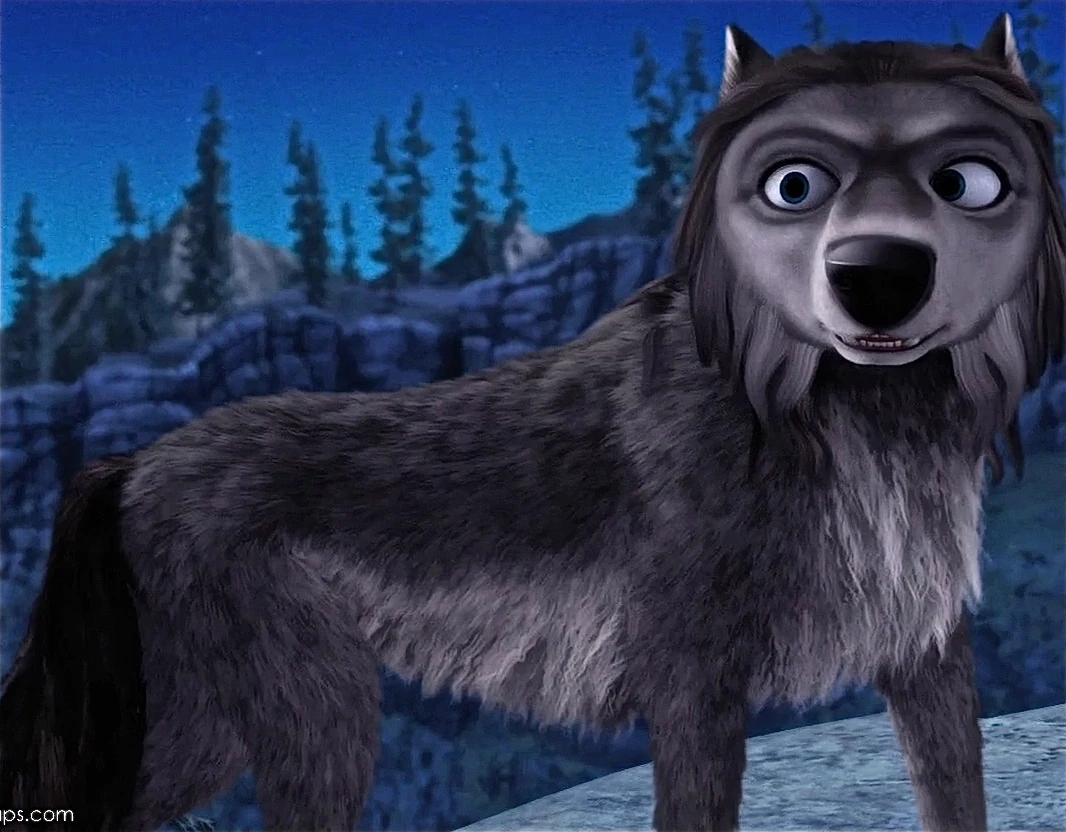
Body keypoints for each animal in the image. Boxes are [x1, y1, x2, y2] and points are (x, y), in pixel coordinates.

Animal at [1, 13, 1063, 832]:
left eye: (967, 182)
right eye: (794, 185)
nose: (877, 277)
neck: (846, 415)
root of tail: (134, 461)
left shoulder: (926, 650)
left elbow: (957, 793)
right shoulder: (695, 686)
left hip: (210, 721)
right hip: (308, 713)